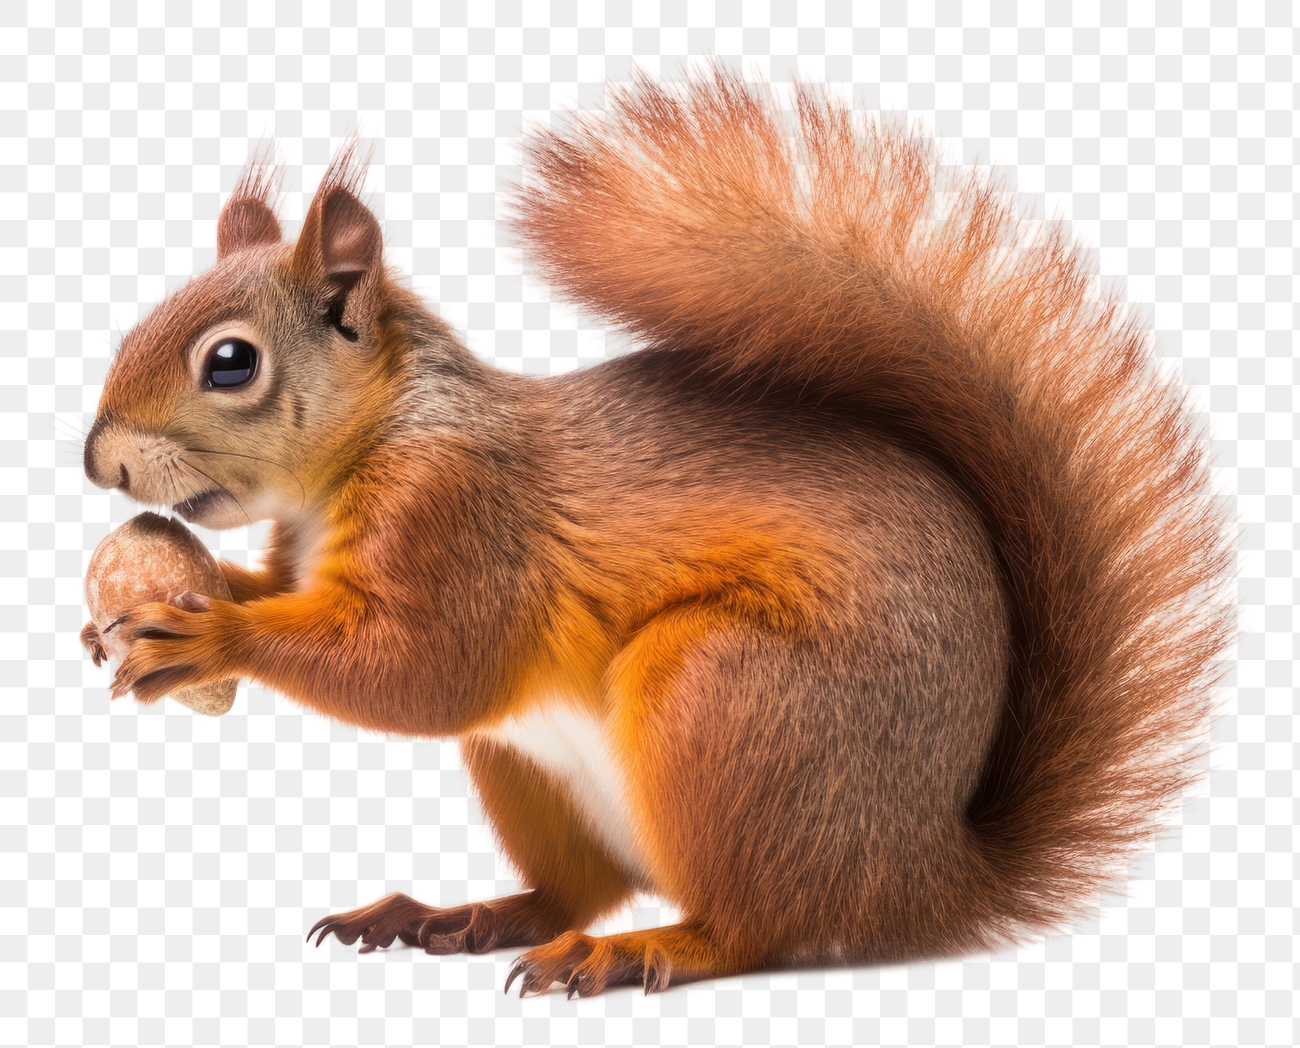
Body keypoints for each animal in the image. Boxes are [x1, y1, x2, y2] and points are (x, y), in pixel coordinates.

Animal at [82, 73, 1231, 996]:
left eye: (230, 362)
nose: (98, 463)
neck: (363, 452)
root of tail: (925, 870)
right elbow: (291, 600)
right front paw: (151, 609)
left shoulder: (464, 520)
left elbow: (428, 669)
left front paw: (210, 636)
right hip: (528, 764)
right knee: (571, 890)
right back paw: (462, 916)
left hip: (722, 695)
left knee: (757, 926)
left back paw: (646, 950)